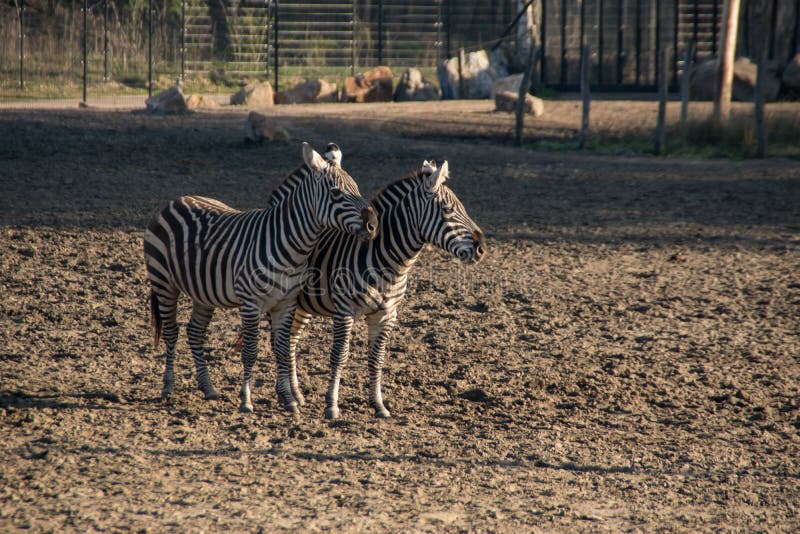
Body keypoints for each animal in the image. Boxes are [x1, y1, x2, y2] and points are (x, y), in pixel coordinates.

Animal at [143, 142, 378, 413]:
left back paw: (208, 388)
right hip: (164, 282)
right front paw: (246, 400)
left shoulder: (286, 303)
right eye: (336, 192)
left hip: (203, 291)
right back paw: (168, 388)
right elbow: (251, 351)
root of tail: (177, 199)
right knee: (172, 331)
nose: (373, 224)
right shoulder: (251, 302)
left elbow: (283, 349)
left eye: (357, 188)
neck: (292, 247)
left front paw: (288, 399)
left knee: (195, 331)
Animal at [285, 158, 486, 419]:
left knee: (290, 341)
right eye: (448, 210)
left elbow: (377, 359)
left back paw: (297, 395)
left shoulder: (386, 314)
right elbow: (339, 356)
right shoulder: (345, 311)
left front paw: (378, 405)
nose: (481, 249)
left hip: (302, 306)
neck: (391, 264)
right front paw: (332, 405)